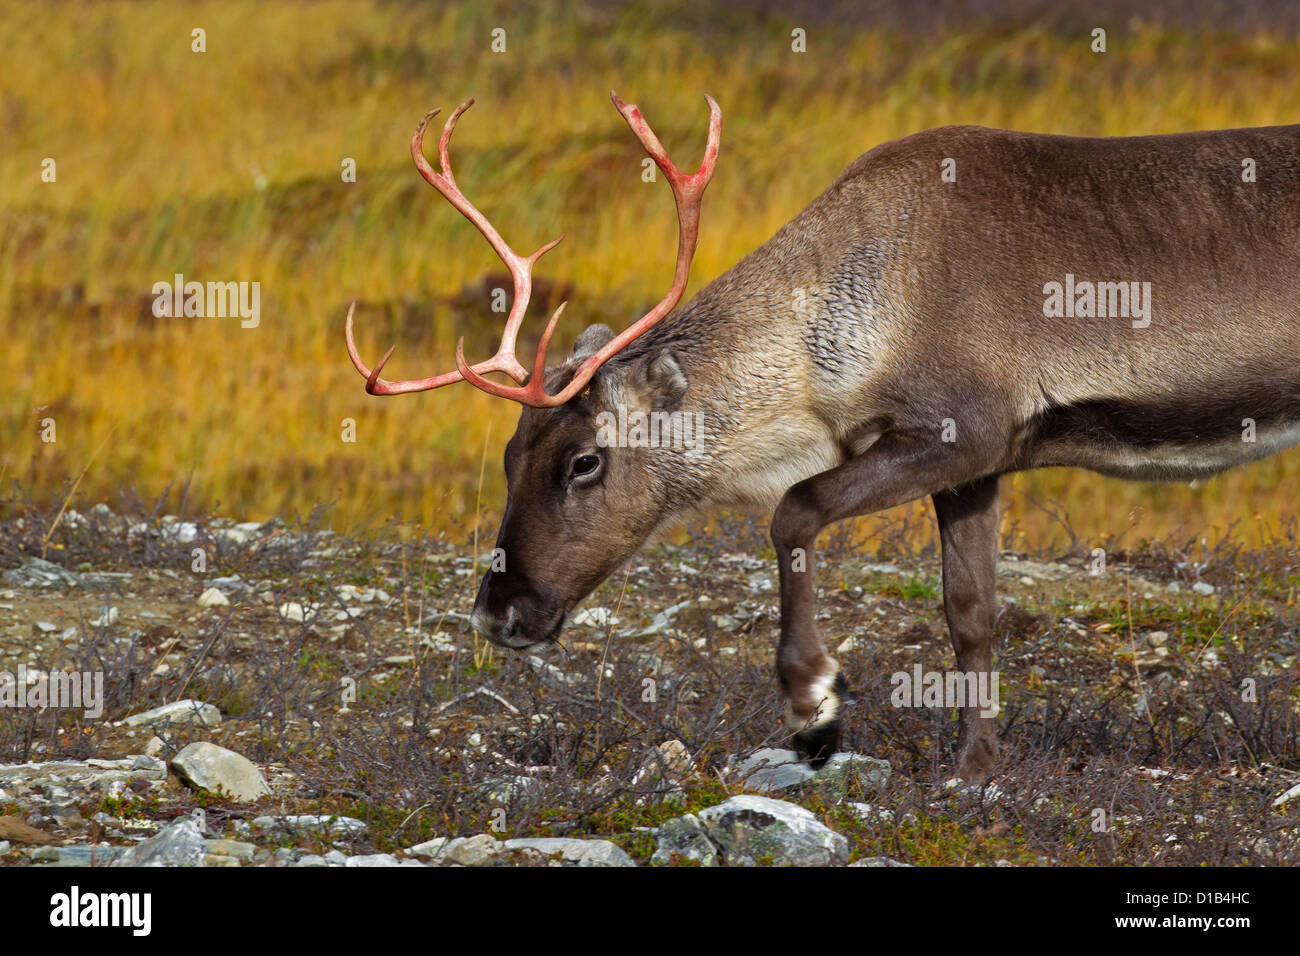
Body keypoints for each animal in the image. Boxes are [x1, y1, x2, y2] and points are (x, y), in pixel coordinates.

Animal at [345, 92, 1300, 784]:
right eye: (510, 457)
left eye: (585, 461)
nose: (496, 612)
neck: (829, 334)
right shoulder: (980, 461)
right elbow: (970, 610)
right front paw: (976, 769)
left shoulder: (956, 430)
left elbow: (795, 510)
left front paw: (814, 706)